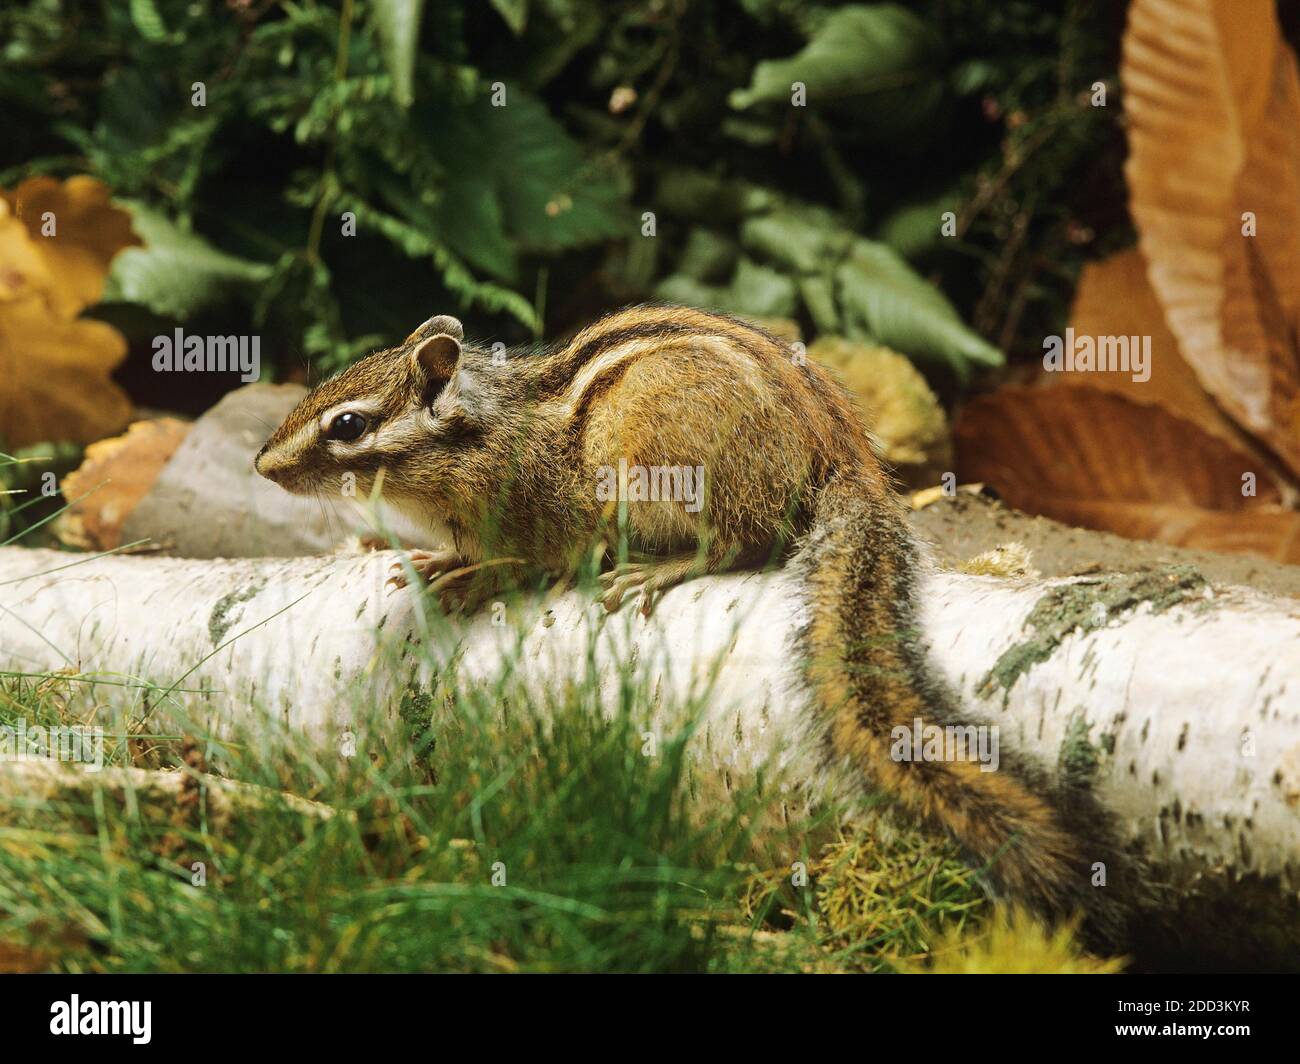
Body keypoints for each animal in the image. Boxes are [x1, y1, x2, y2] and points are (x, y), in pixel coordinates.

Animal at [256, 303, 1124, 934]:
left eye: (347, 425)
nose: (261, 465)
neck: (481, 431)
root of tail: (846, 464)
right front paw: (439, 563)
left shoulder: (544, 511)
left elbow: (538, 559)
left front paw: (475, 579)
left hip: (664, 461)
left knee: (743, 540)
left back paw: (664, 566)